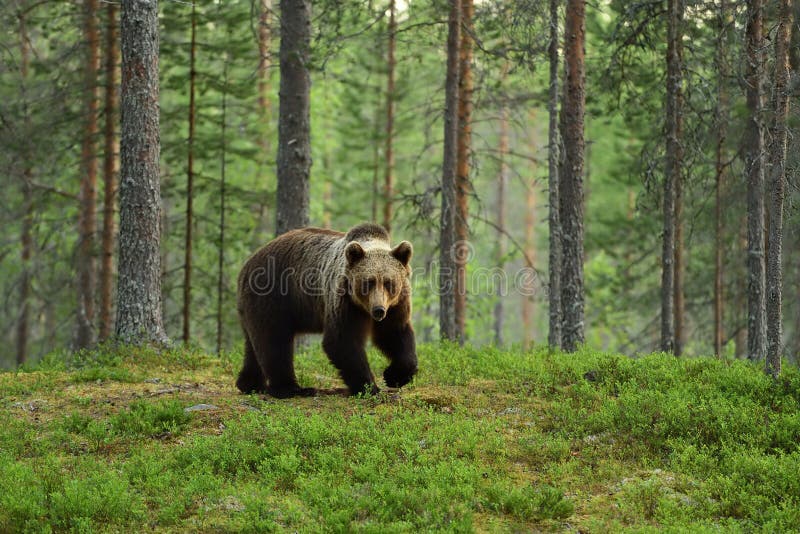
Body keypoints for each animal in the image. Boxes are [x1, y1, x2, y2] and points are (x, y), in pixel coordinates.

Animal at [235, 222, 418, 398]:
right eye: (368, 282)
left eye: (388, 282)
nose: (378, 310)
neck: (364, 308)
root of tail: (247, 264)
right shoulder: (344, 301)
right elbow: (342, 340)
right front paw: (368, 387)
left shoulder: (395, 306)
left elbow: (394, 334)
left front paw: (394, 376)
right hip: (273, 295)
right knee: (274, 340)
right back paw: (290, 389)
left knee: (253, 344)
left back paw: (250, 385)